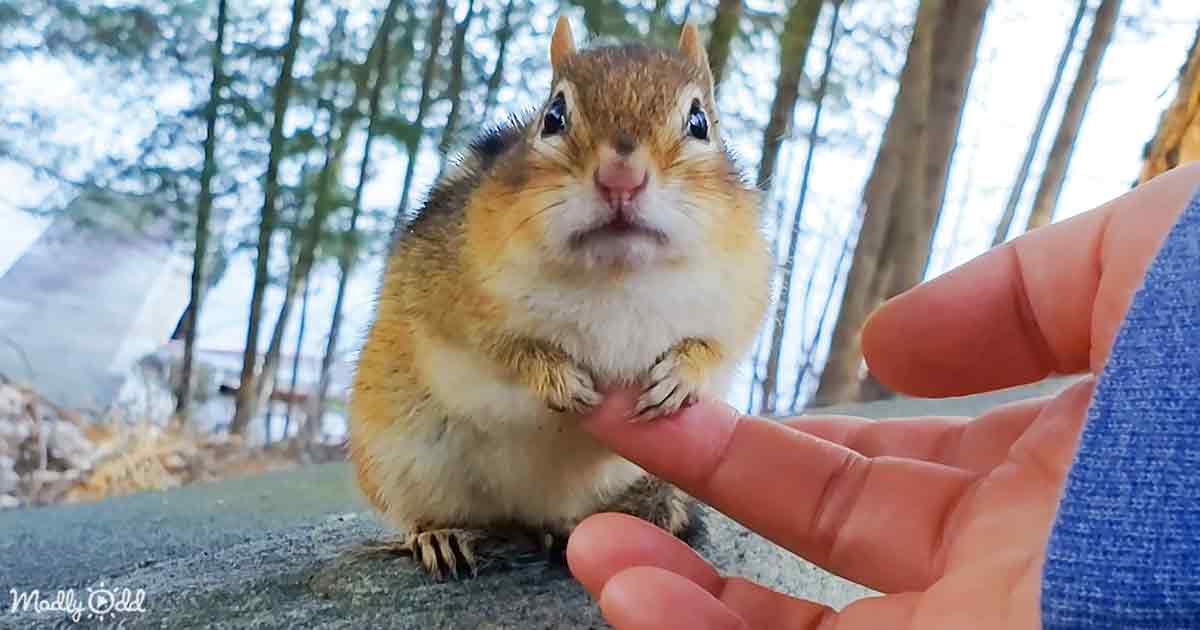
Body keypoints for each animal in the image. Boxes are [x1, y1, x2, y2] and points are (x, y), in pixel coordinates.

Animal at [348, 16, 770, 580]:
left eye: (700, 121)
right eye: (553, 116)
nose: (621, 178)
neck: (618, 276)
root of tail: (524, 512)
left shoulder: (741, 299)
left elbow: (717, 346)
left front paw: (682, 374)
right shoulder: (451, 298)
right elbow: (500, 348)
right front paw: (555, 376)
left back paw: (563, 530)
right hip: (397, 456)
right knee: (421, 513)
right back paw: (439, 535)